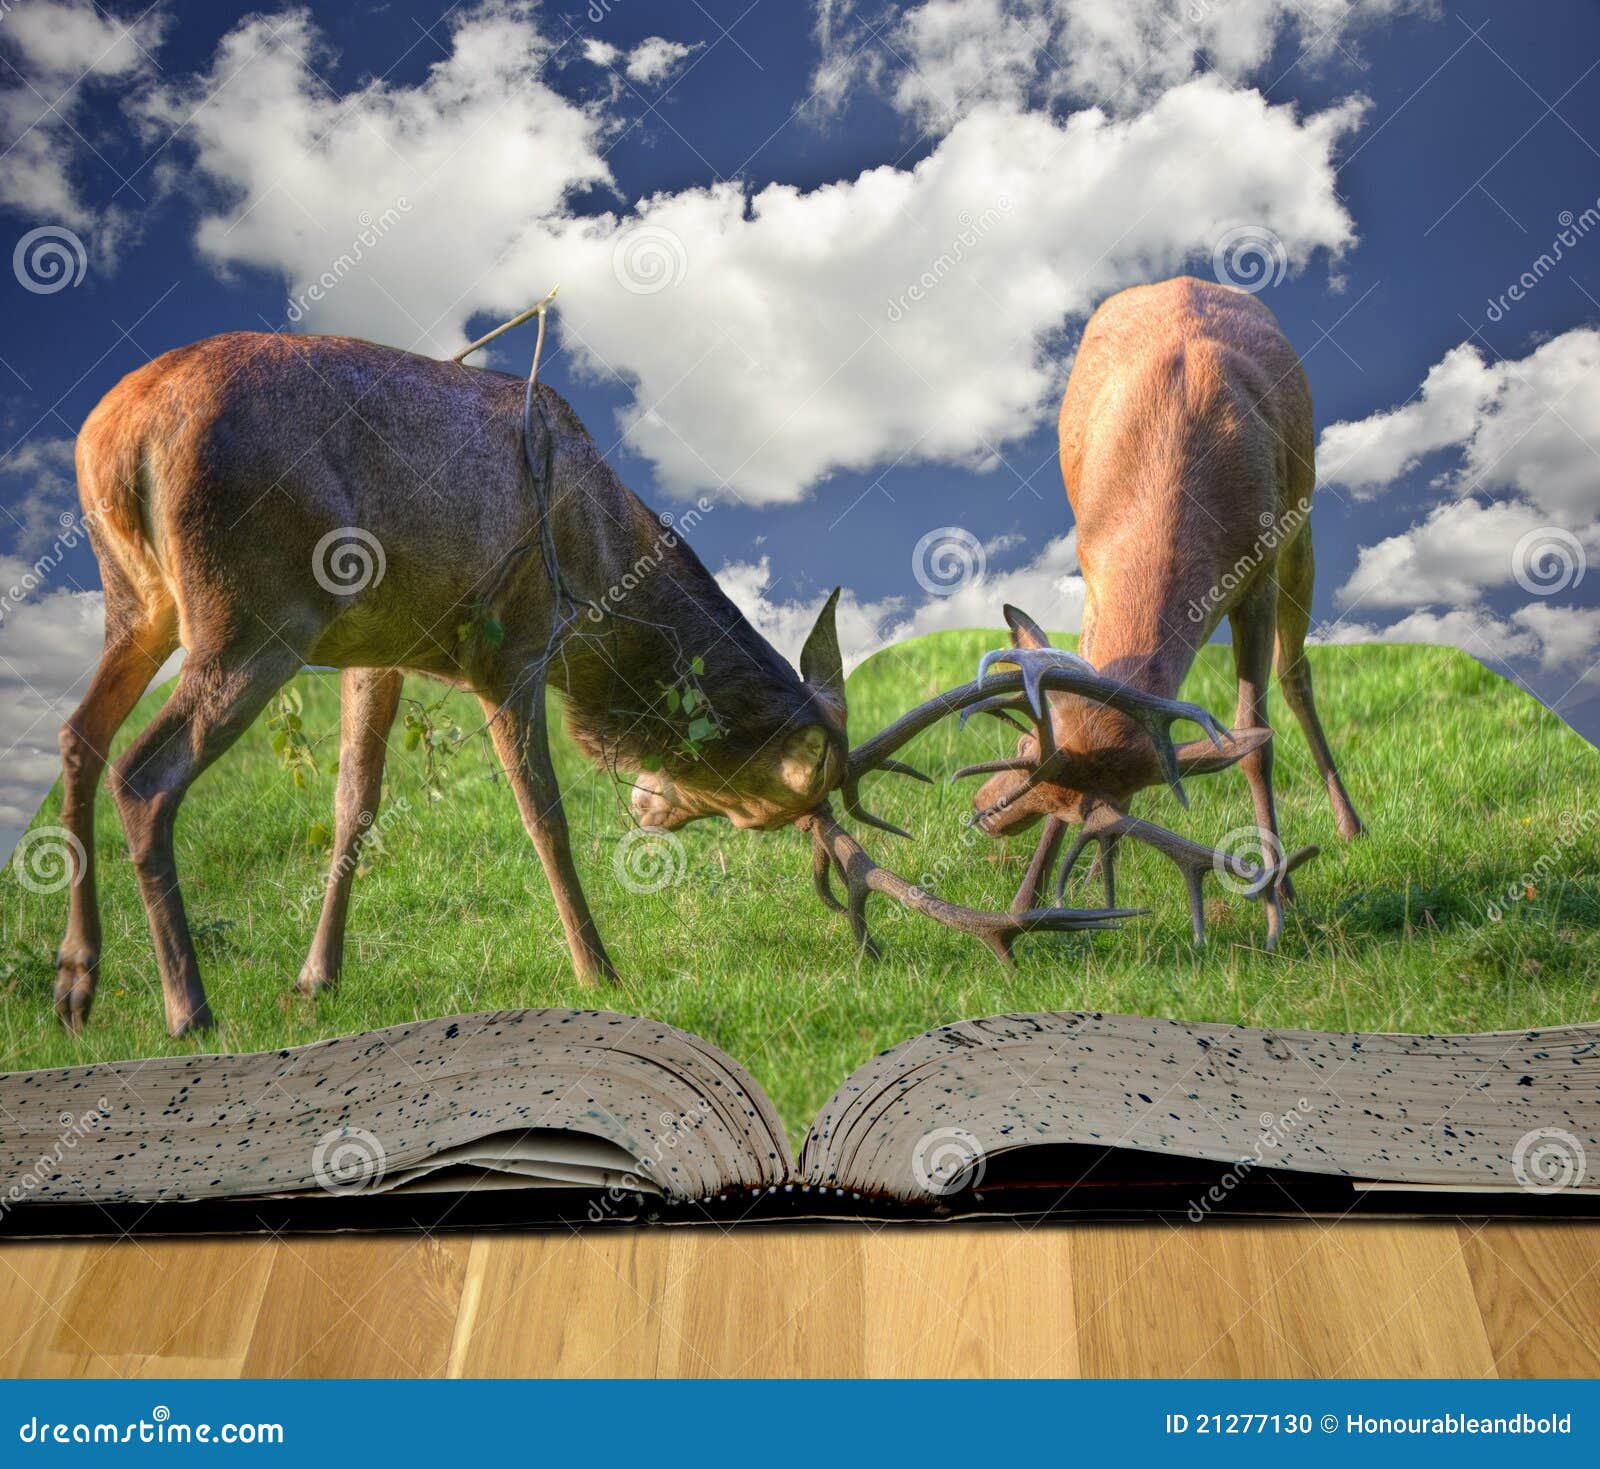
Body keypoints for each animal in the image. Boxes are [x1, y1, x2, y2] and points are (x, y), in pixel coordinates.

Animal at [824, 277, 1364, 952]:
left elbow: (1253, 738)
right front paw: (1036, 896)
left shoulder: (1260, 571)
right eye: (1027, 746)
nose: (984, 811)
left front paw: (1280, 895)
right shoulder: (1089, 567)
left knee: (1297, 673)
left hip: (1303, 534)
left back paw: (1350, 825)